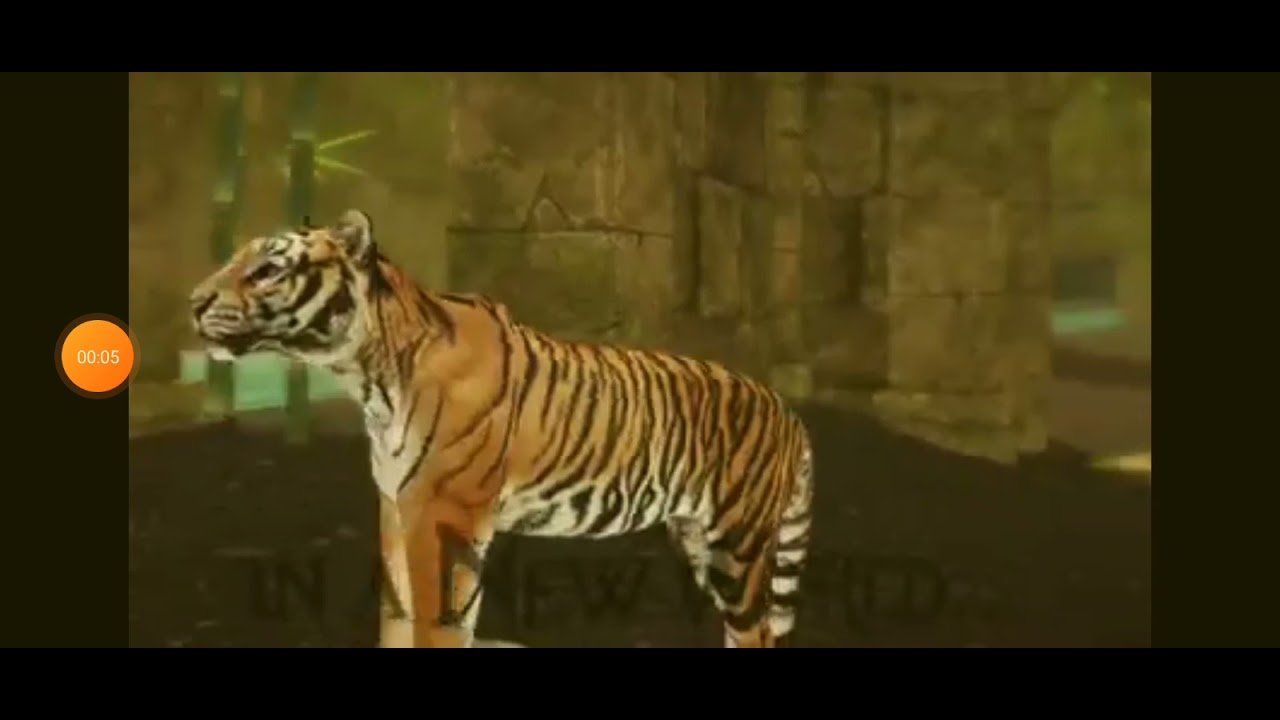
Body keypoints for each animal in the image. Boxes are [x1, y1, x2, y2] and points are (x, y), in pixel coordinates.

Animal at [188, 209, 815, 648]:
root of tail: (787, 409)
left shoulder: (443, 510)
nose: (193, 302)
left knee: (756, 634)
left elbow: (437, 624)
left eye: (268, 269)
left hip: (738, 546)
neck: (368, 378)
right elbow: (398, 615)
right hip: (699, 537)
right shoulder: (395, 505)